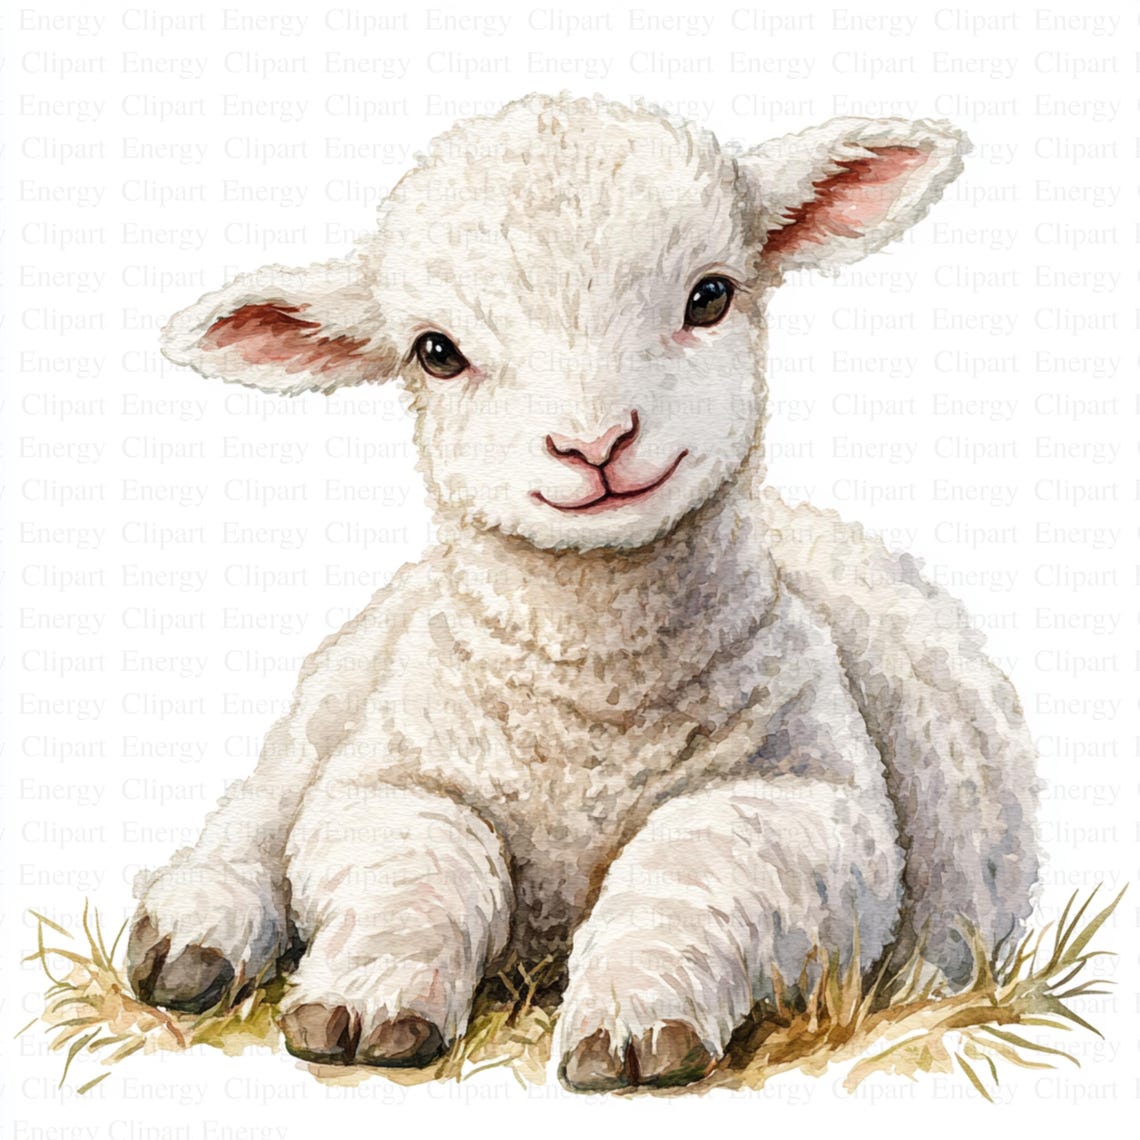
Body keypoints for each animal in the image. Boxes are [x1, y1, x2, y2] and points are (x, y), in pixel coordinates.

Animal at [130, 93, 1038, 1091]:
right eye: (436, 353)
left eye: (710, 296)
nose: (595, 442)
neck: (589, 712)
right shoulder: (385, 777)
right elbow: (420, 853)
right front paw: (368, 1005)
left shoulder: (823, 806)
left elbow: (697, 857)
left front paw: (636, 1020)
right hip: (345, 683)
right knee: (262, 805)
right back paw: (194, 935)